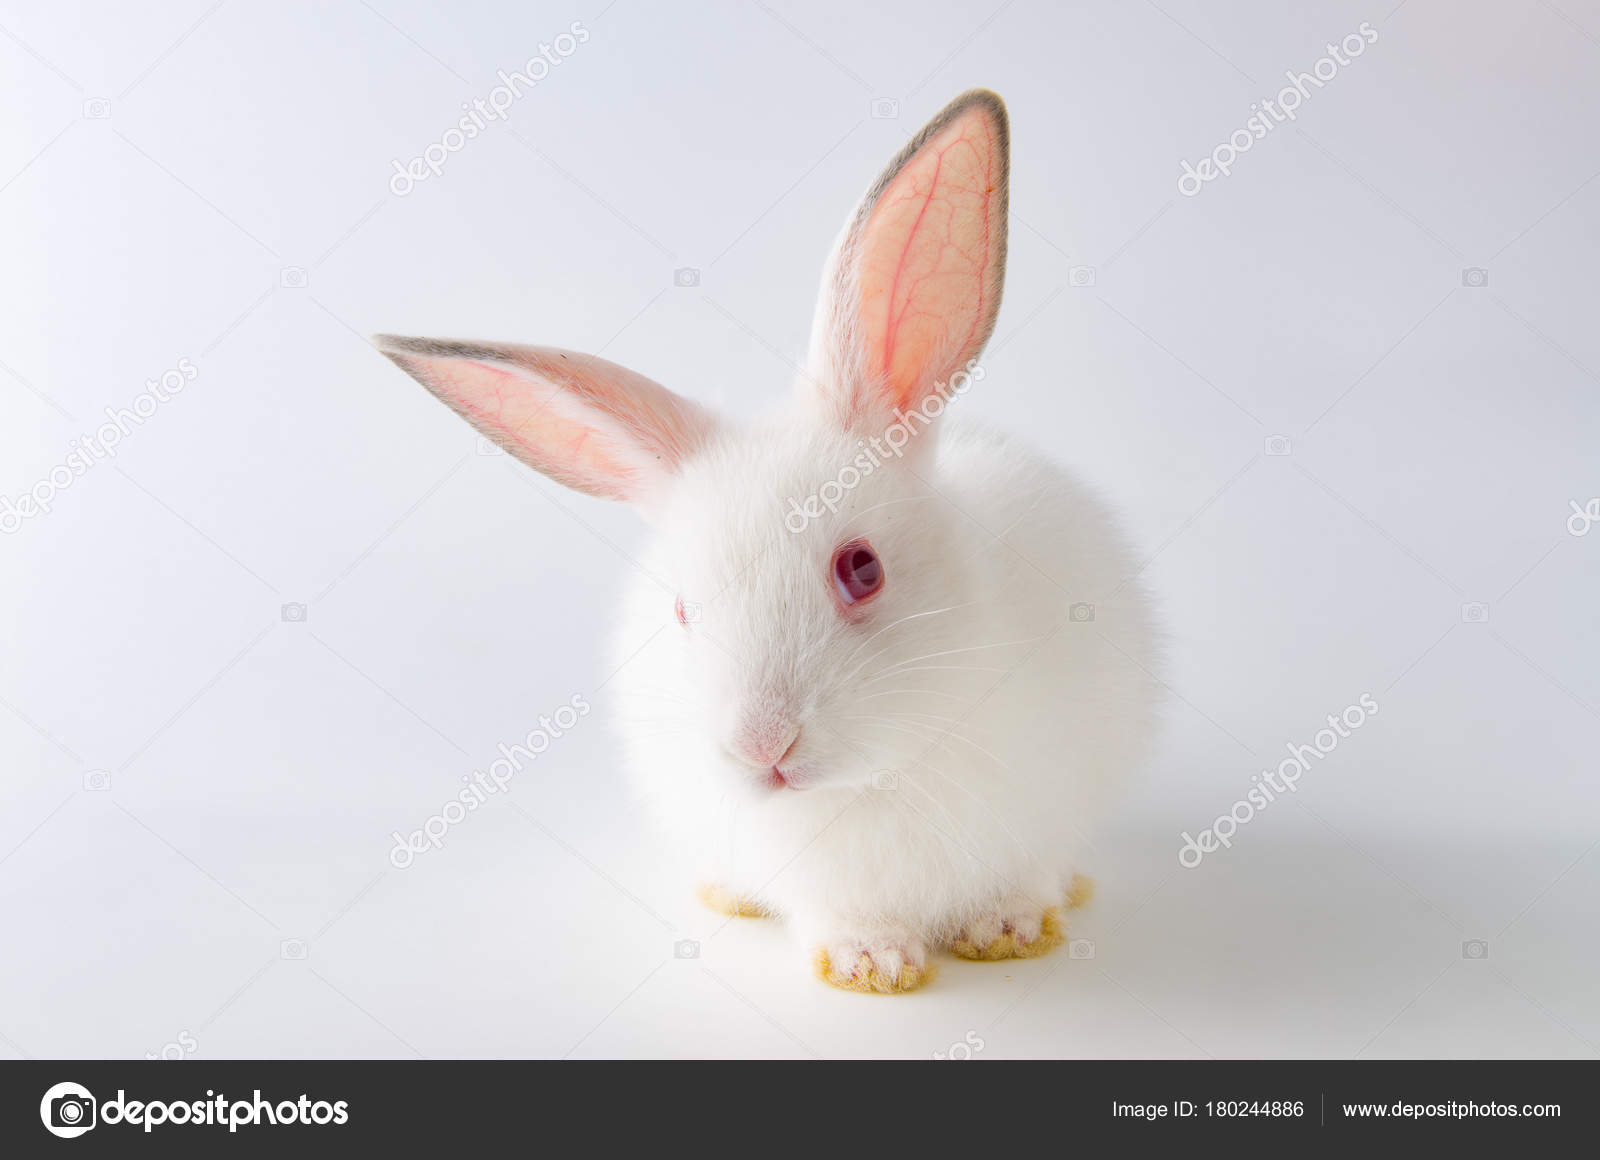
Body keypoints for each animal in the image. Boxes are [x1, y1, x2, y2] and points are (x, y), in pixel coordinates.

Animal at [377, 89, 1159, 994]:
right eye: (683, 609)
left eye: (863, 569)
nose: (762, 746)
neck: (878, 775)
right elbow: (841, 918)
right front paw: (872, 966)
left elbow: (1021, 877)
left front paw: (1008, 931)